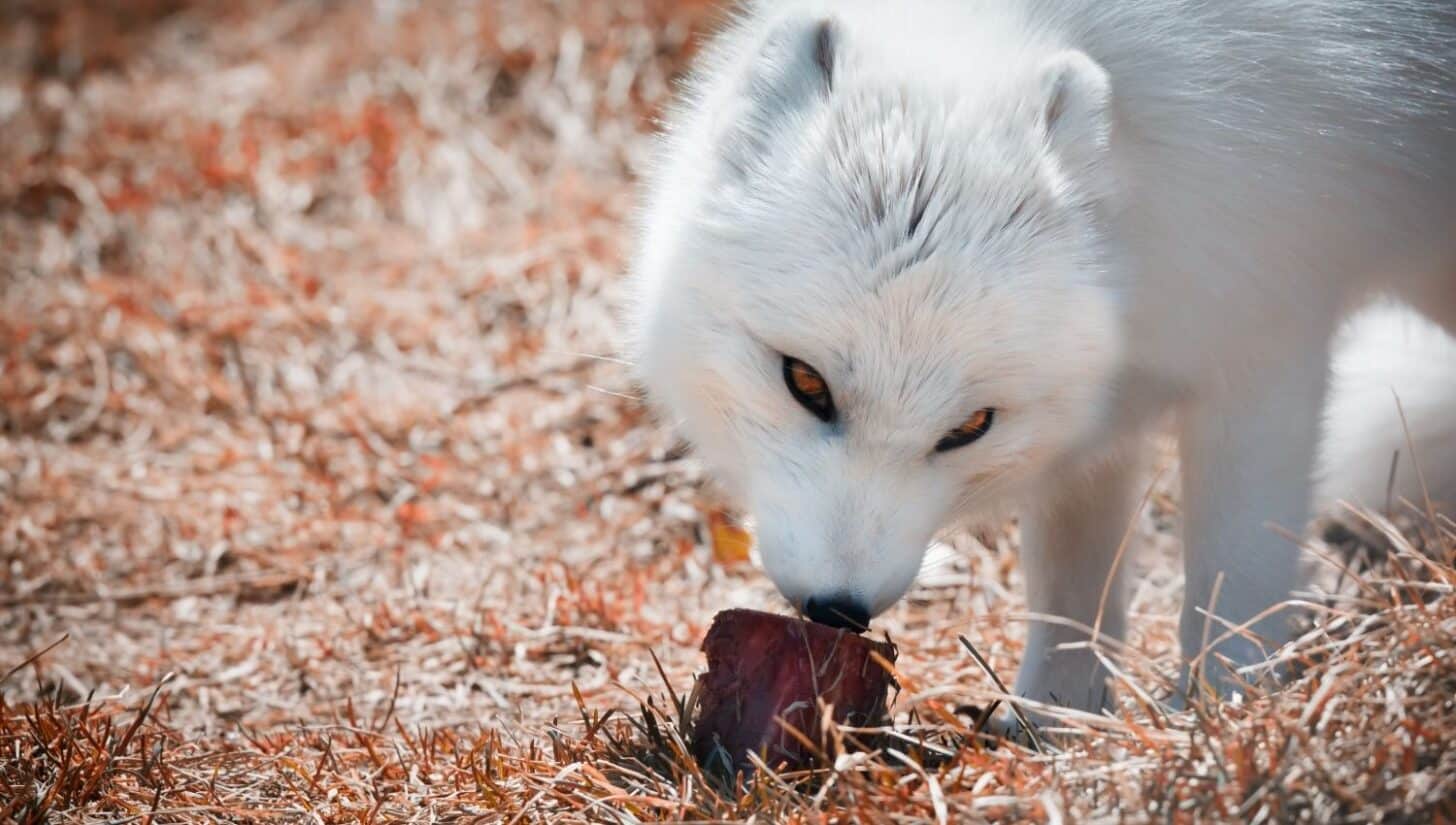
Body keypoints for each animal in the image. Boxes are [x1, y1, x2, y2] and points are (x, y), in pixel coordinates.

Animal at [626, 0, 1456, 717]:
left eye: (969, 427)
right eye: (805, 383)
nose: (838, 609)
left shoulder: (1267, 347)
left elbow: (1235, 580)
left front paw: (1219, 718)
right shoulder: (1098, 417)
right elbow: (1072, 585)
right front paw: (1051, 717)